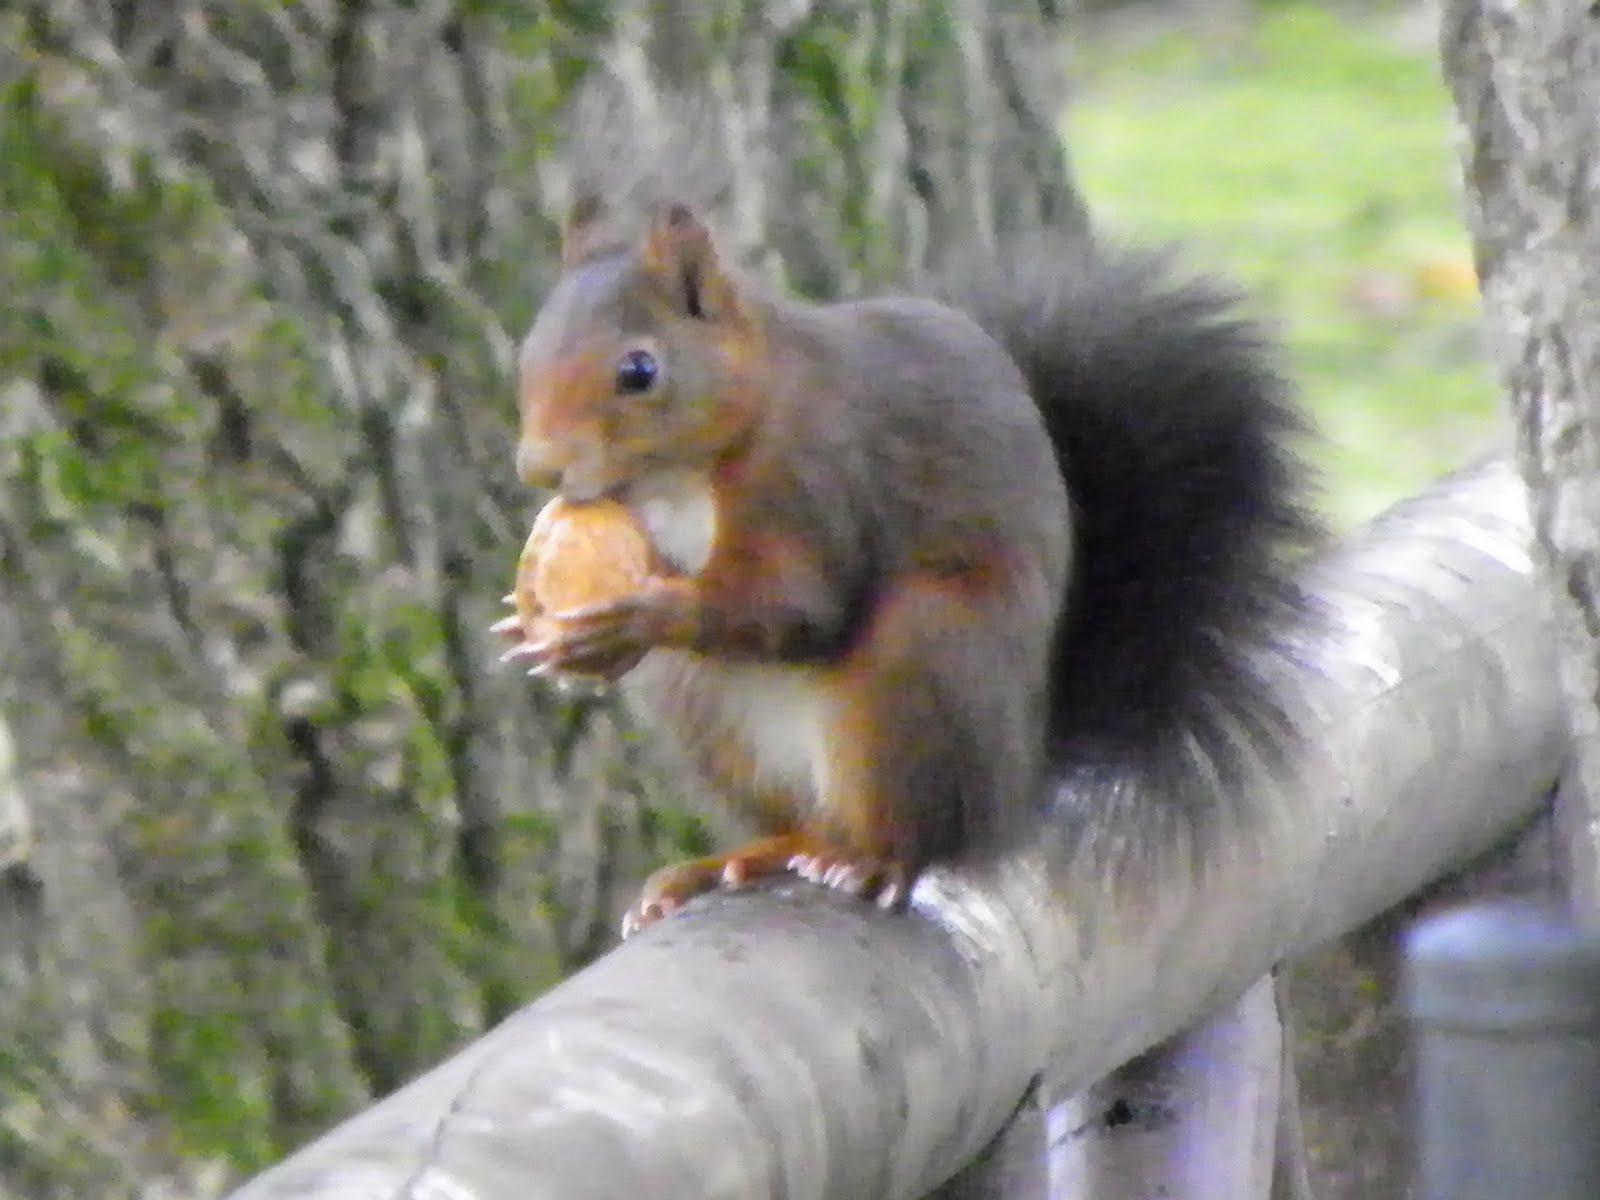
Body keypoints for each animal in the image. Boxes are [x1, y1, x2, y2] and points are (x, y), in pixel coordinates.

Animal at [500, 153, 1318, 939]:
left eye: (639, 371)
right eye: (527, 355)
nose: (539, 469)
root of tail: (1015, 787)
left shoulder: (812, 479)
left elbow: (797, 607)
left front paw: (636, 615)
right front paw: (542, 624)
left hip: (918, 665)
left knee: (915, 834)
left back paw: (868, 862)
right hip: (707, 709)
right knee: (793, 822)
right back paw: (729, 863)